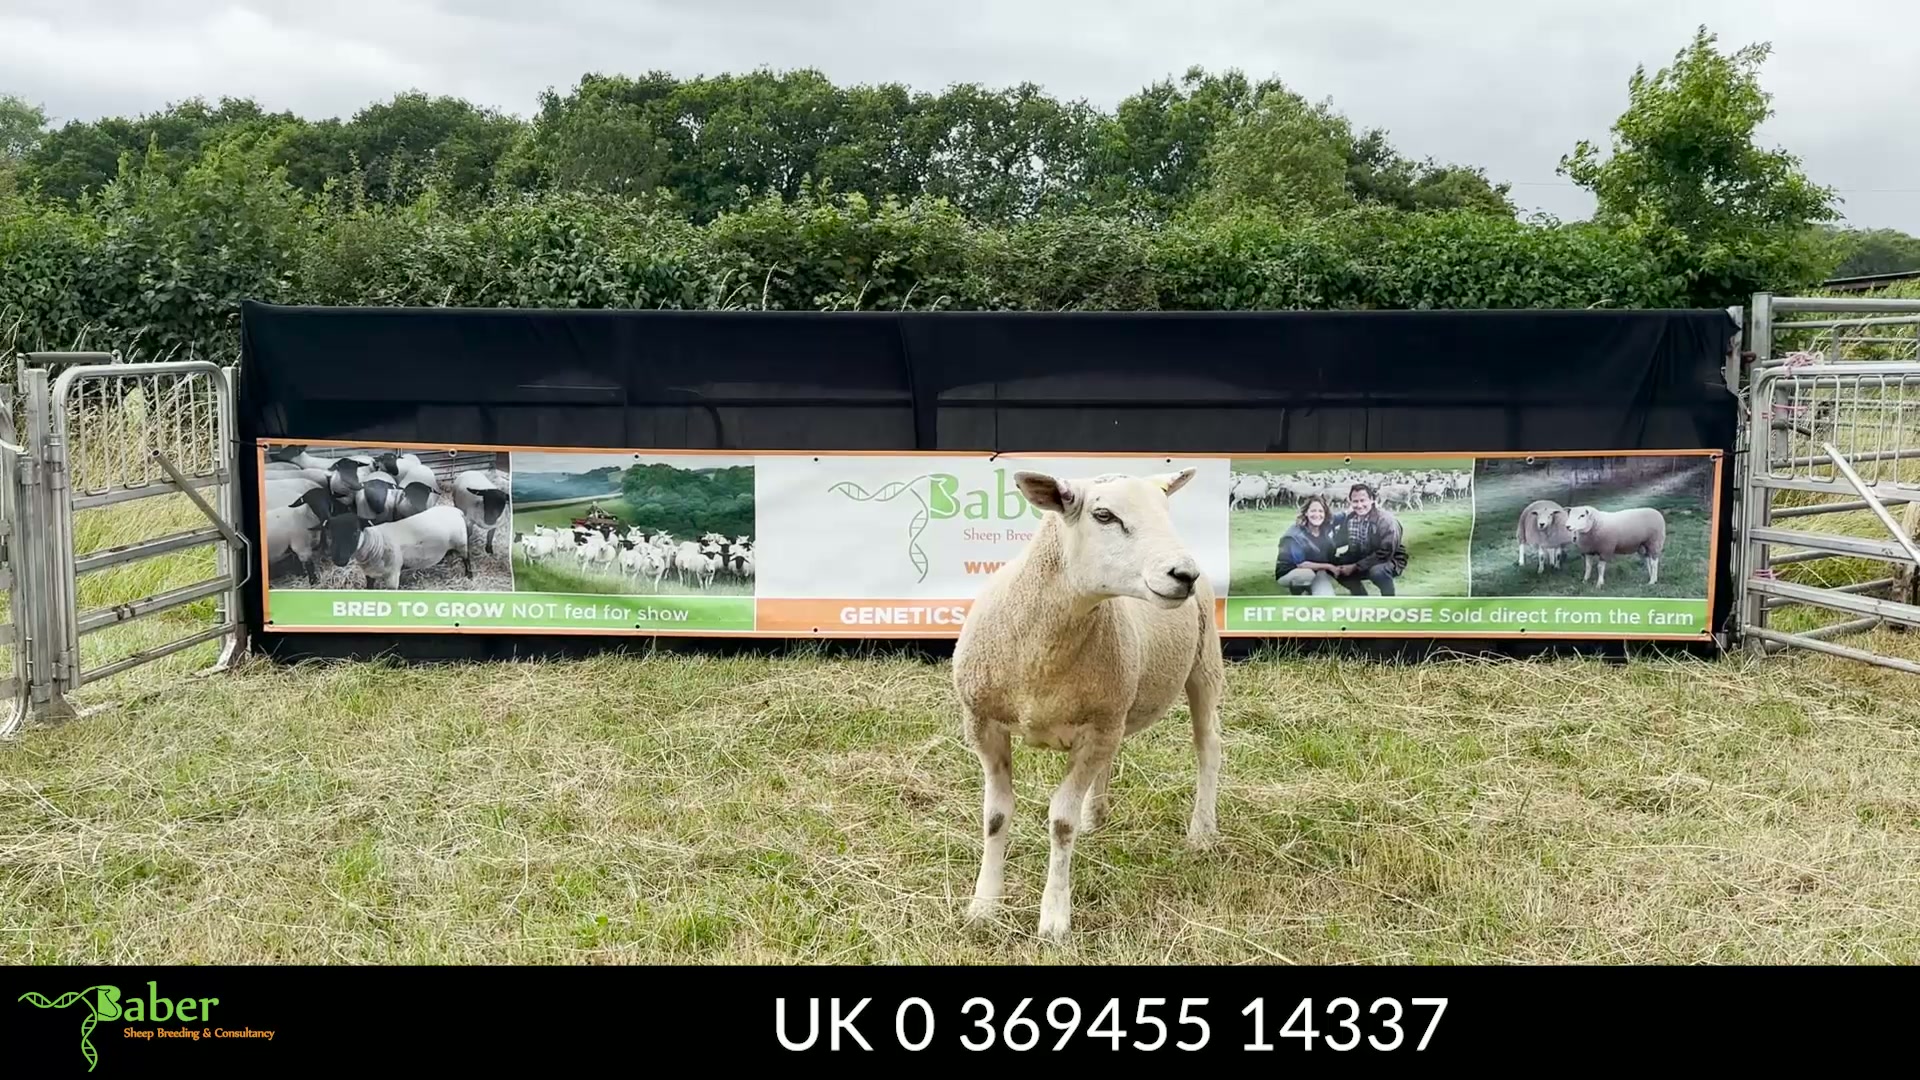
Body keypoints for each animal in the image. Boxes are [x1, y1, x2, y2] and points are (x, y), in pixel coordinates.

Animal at [321, 504, 472, 589]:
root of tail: (456, 511)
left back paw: (469, 576)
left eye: (355, 532)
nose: (339, 560)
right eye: (331, 534)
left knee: (466, 559)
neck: (376, 542)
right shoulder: (369, 573)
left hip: (461, 542)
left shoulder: (392, 576)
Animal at [953, 468, 1224, 942]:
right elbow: (996, 816)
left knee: (1207, 746)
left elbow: (1061, 823)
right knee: (1112, 759)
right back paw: (1096, 815)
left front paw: (1054, 919)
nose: (1183, 574)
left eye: (1165, 510)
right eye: (1104, 515)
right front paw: (984, 906)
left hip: (1203, 663)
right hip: (1118, 700)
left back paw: (1201, 832)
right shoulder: (983, 723)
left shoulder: (1095, 730)